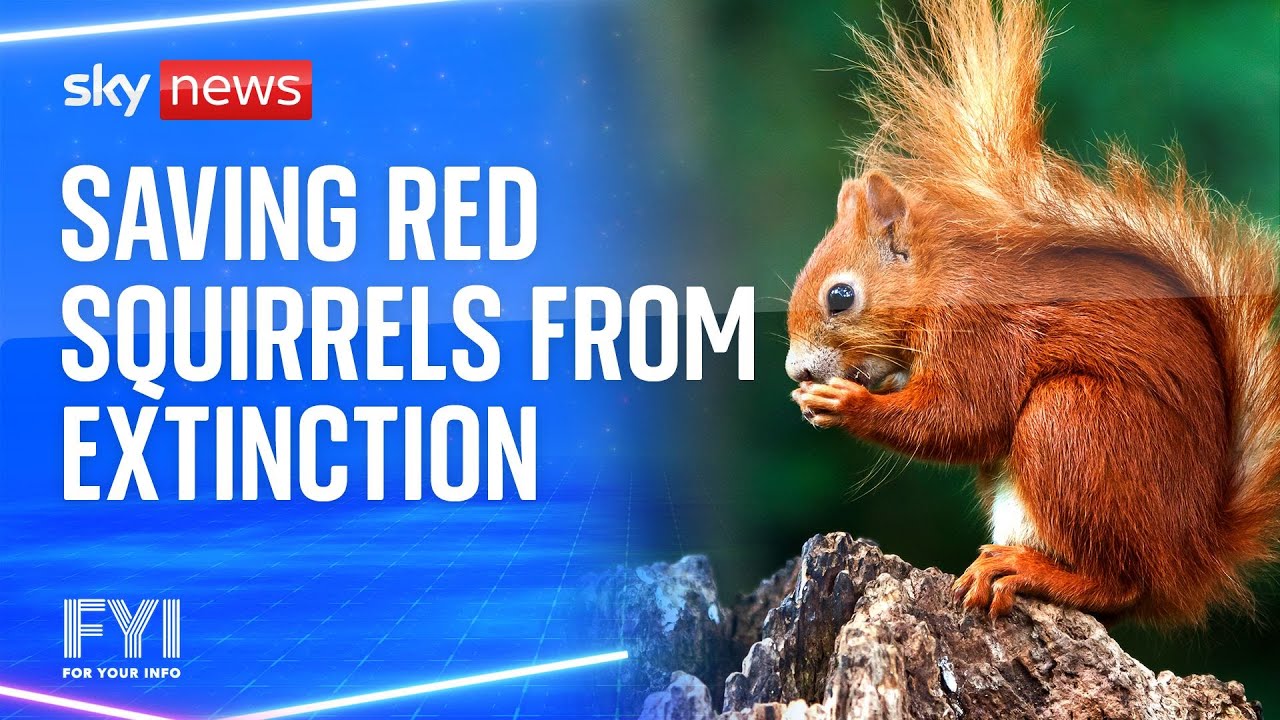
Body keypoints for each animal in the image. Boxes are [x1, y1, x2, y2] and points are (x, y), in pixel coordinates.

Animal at [786, 0, 1280, 625]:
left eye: (840, 296)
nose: (797, 370)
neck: (942, 284)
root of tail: (1193, 554)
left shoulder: (982, 334)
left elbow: (962, 416)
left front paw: (846, 403)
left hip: (1072, 423)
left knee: (1119, 583)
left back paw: (1028, 571)